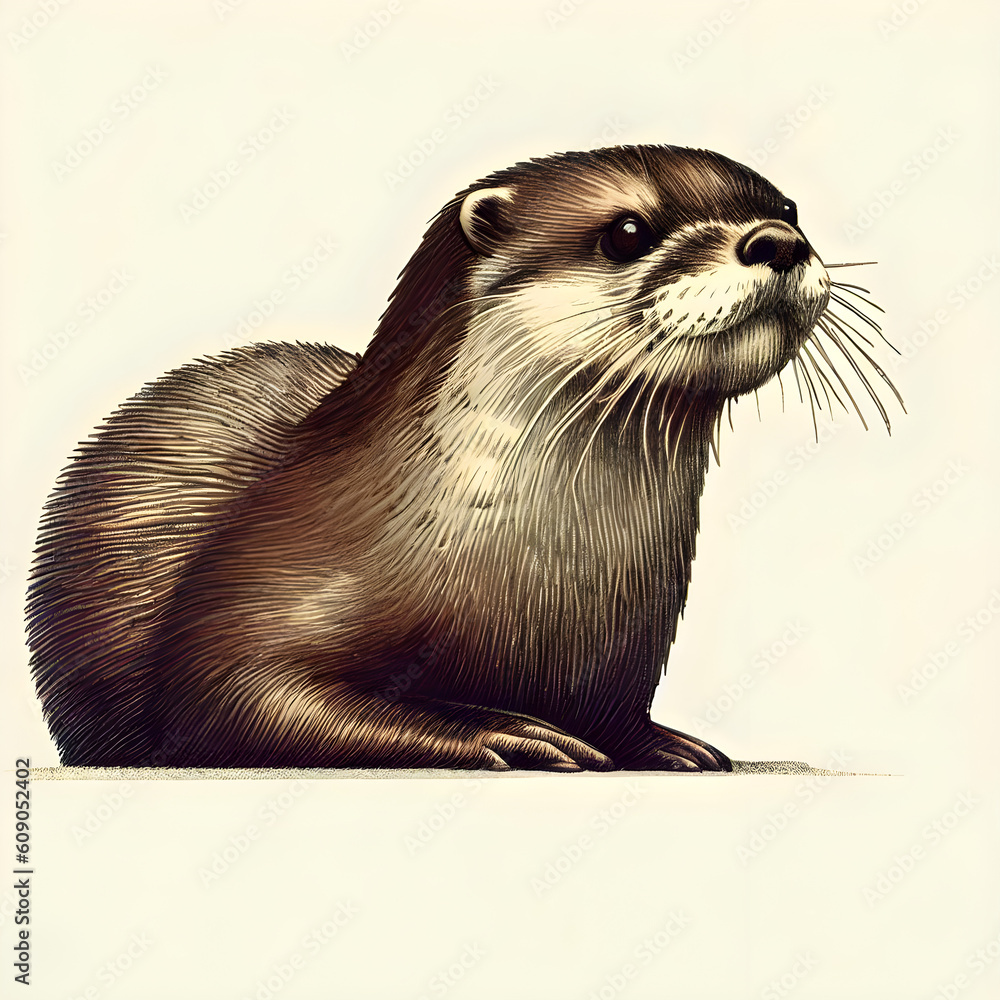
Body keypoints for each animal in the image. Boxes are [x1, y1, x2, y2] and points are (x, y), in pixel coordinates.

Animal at [27, 145, 899, 770]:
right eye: (627, 232)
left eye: (788, 208)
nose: (777, 242)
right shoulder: (252, 597)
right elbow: (236, 696)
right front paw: (508, 732)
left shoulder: (620, 658)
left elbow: (617, 716)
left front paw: (667, 743)